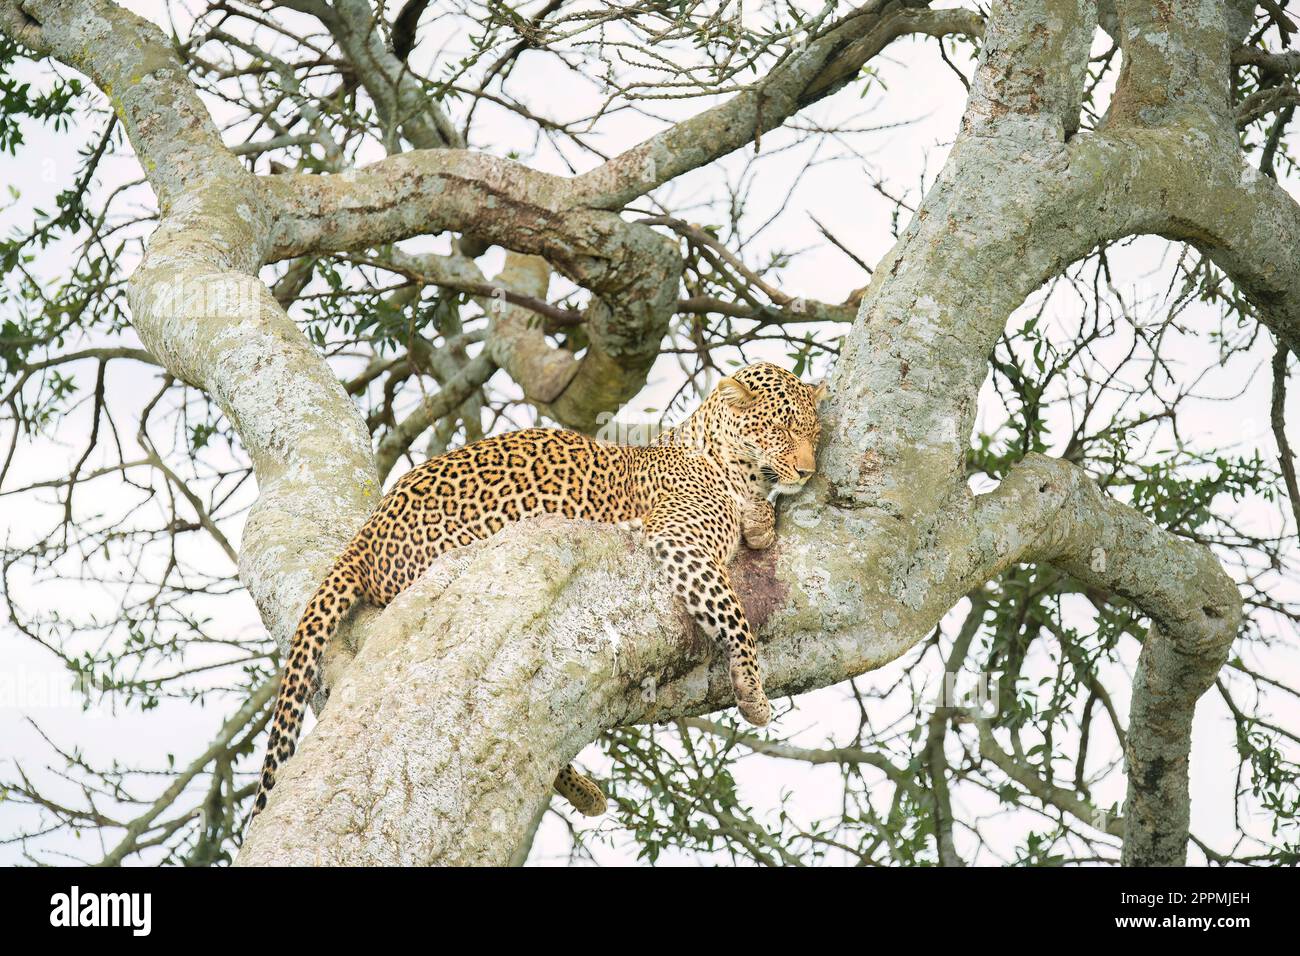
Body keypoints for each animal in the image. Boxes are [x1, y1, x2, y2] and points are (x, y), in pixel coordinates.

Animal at [251, 361, 826, 820]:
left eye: (815, 431)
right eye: (779, 427)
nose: (806, 470)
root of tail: (365, 536)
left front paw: (761, 521)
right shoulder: (679, 540)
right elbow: (733, 613)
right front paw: (752, 691)